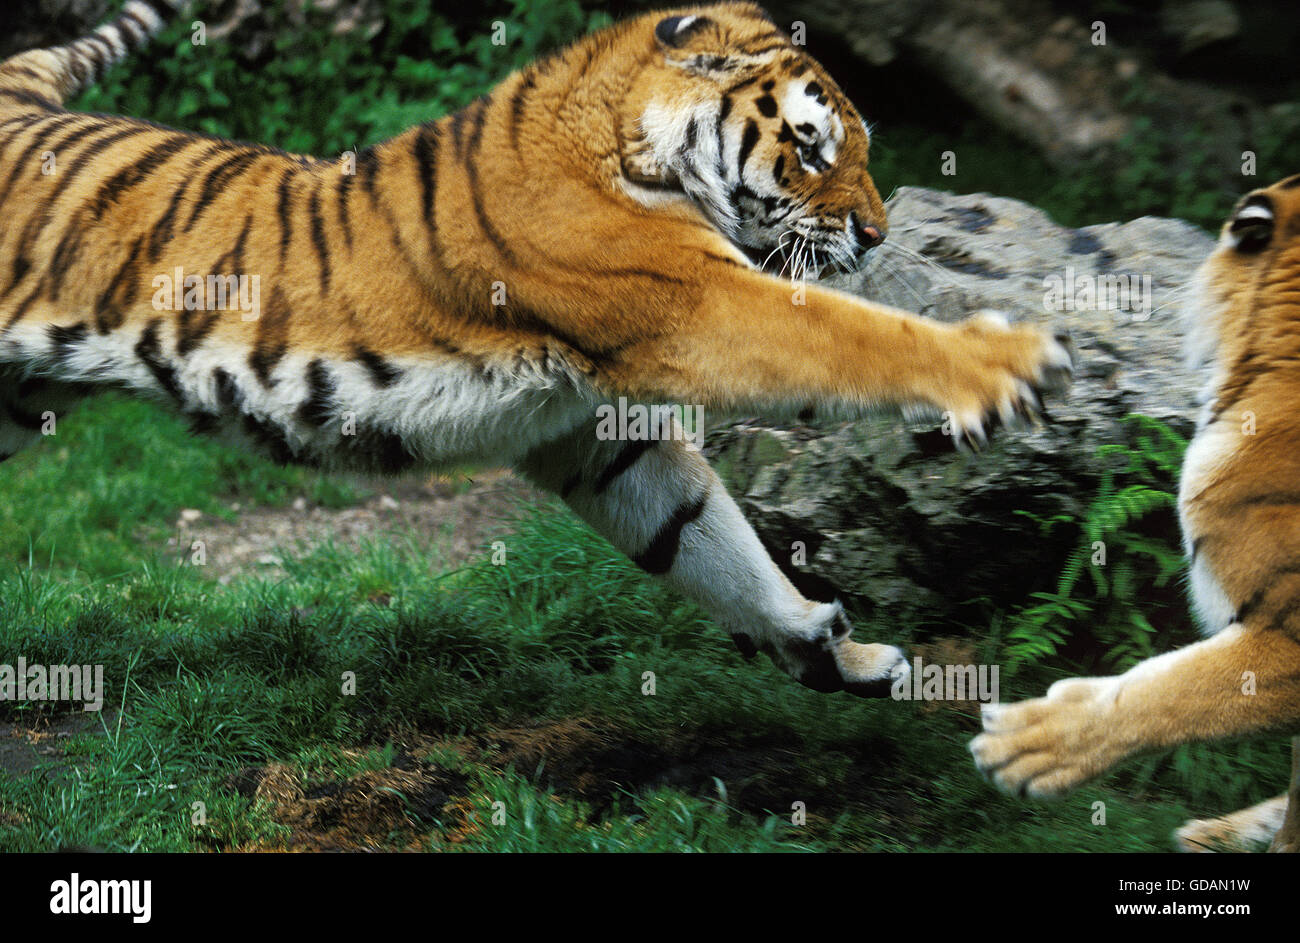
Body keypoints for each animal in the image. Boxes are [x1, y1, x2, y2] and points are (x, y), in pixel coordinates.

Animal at [0, 0, 1071, 699]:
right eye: (813, 148)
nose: (880, 236)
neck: (637, 144)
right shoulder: (700, 308)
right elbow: (852, 333)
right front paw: (1007, 364)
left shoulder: (593, 431)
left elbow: (704, 535)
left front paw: (830, 650)